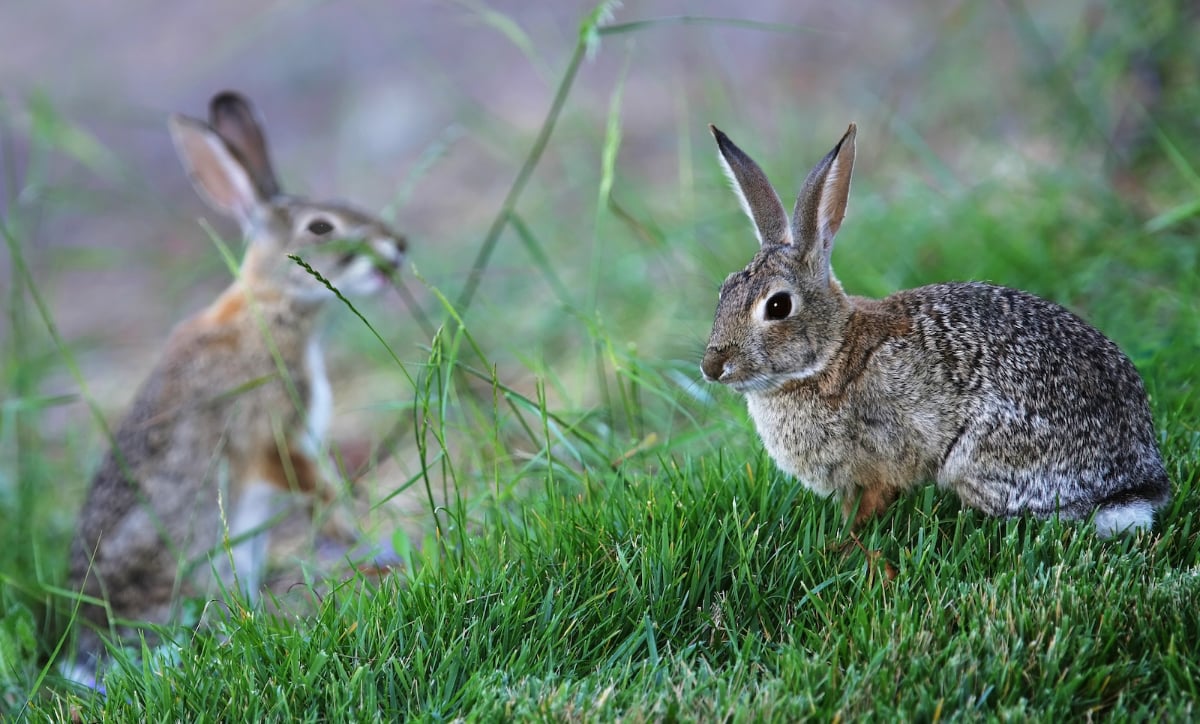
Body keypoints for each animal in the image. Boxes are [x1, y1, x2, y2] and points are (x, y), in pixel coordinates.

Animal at [65, 91, 406, 683]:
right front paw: (361, 542)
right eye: (321, 227)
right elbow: (316, 487)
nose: (398, 245)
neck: (274, 307)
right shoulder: (276, 435)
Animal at [700, 123, 1170, 537]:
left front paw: (843, 543)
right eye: (724, 289)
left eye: (778, 306)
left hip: (984, 456)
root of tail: (1133, 484)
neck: (828, 354)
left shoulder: (881, 459)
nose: (712, 366)